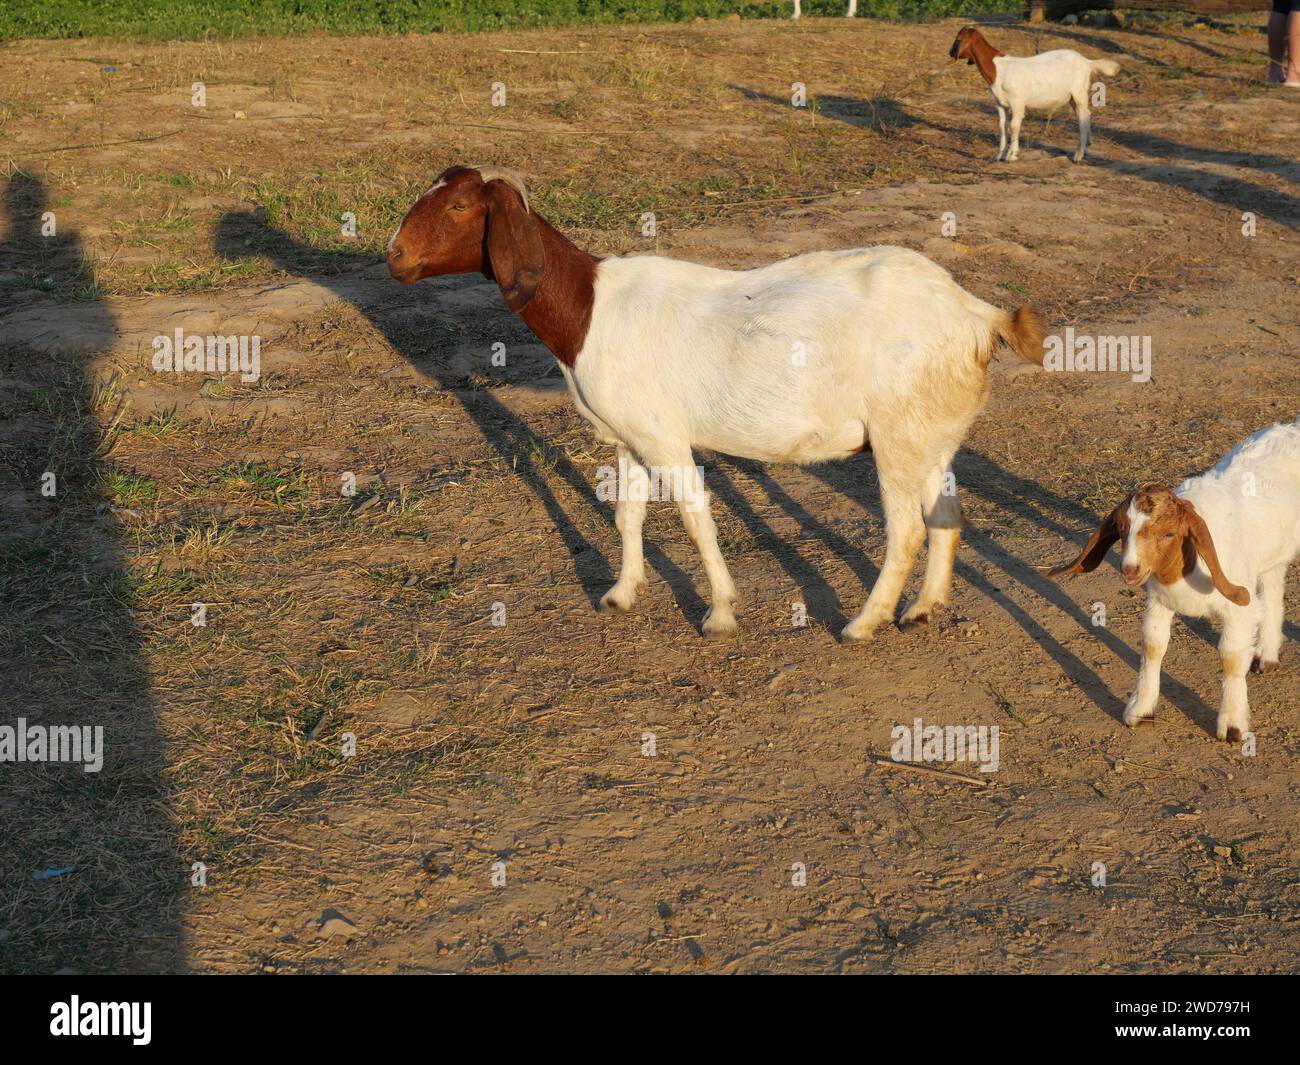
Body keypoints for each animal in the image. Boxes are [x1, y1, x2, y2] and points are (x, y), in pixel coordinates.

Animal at [387, 165, 1046, 639]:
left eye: (458, 207)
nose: (394, 256)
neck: (589, 309)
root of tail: (974, 314)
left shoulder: (663, 436)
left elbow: (695, 515)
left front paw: (721, 613)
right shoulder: (629, 437)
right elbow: (628, 515)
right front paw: (621, 594)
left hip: (896, 434)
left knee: (906, 528)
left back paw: (863, 623)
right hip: (932, 431)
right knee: (947, 515)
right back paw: (924, 609)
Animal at [949, 26, 1119, 164]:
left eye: (958, 39)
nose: (950, 52)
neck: (998, 69)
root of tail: (1087, 62)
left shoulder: (1017, 103)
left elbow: (1014, 126)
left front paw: (1011, 156)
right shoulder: (1000, 104)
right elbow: (1002, 126)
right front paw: (999, 155)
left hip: (1079, 92)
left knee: (1083, 119)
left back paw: (1078, 155)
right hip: (1072, 97)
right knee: (1086, 114)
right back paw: (1087, 147)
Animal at [1051, 420, 1300, 742]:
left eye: (1169, 533)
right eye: (1121, 529)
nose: (1130, 570)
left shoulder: (1237, 608)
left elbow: (1231, 658)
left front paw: (1233, 727)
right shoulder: (1160, 599)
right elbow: (1153, 645)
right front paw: (1140, 711)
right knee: (1272, 583)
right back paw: (1267, 656)